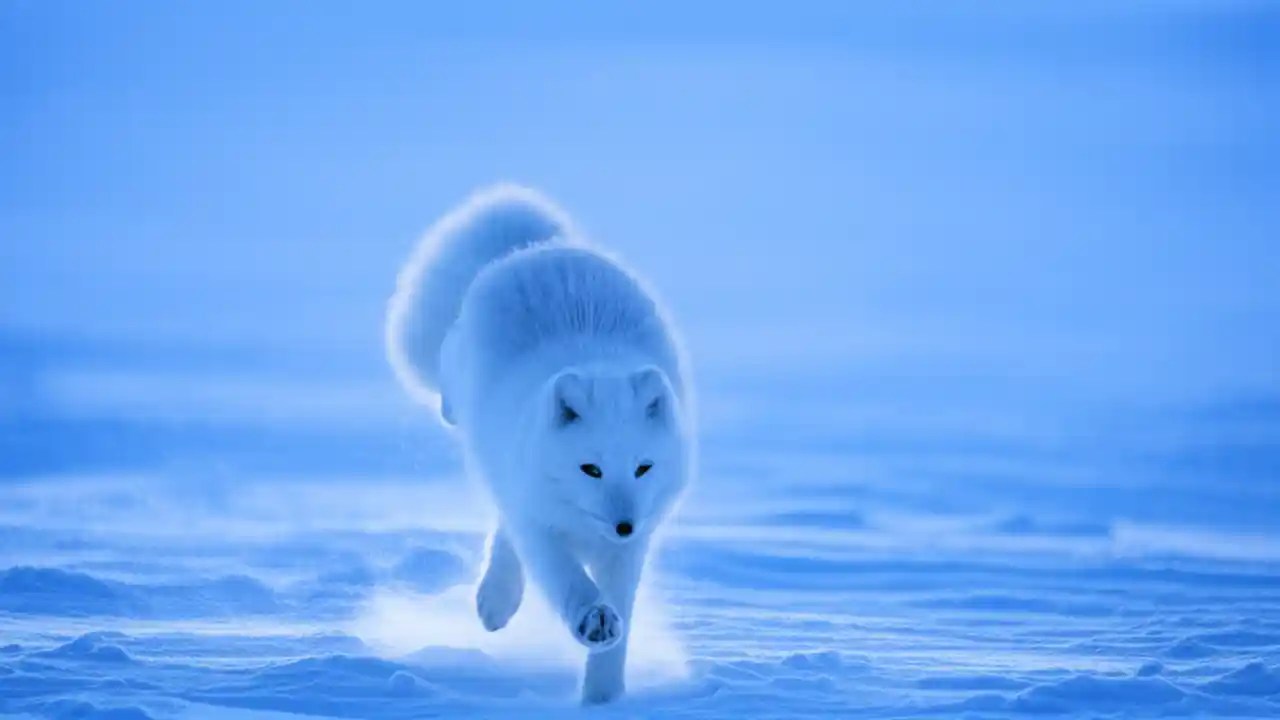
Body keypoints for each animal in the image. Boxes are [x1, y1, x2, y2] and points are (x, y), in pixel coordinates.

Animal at [384, 184, 694, 704]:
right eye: (590, 469)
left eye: (643, 468)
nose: (624, 525)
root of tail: (534, 248)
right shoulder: (539, 523)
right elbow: (565, 578)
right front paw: (593, 618)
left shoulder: (631, 546)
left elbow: (621, 614)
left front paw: (604, 696)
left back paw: (495, 601)